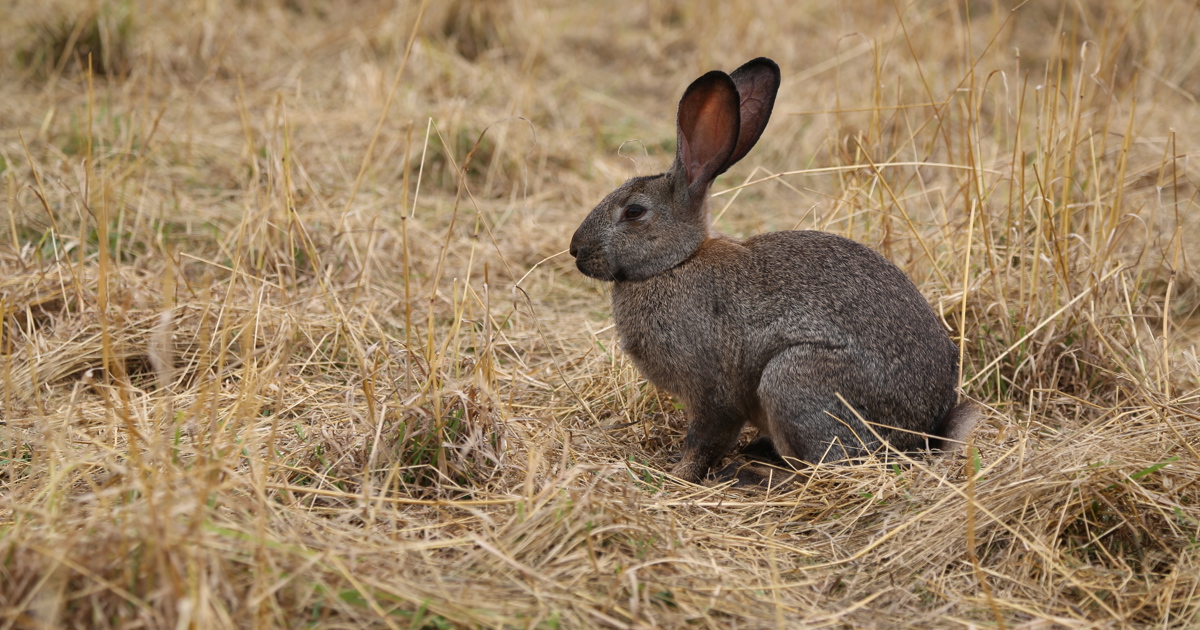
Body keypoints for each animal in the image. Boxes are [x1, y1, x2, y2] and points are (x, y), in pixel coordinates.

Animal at [569, 57, 978, 483]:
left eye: (634, 212)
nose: (575, 250)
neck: (677, 261)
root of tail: (923, 431)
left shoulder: (712, 392)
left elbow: (705, 439)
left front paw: (679, 474)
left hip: (791, 381)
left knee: (824, 467)